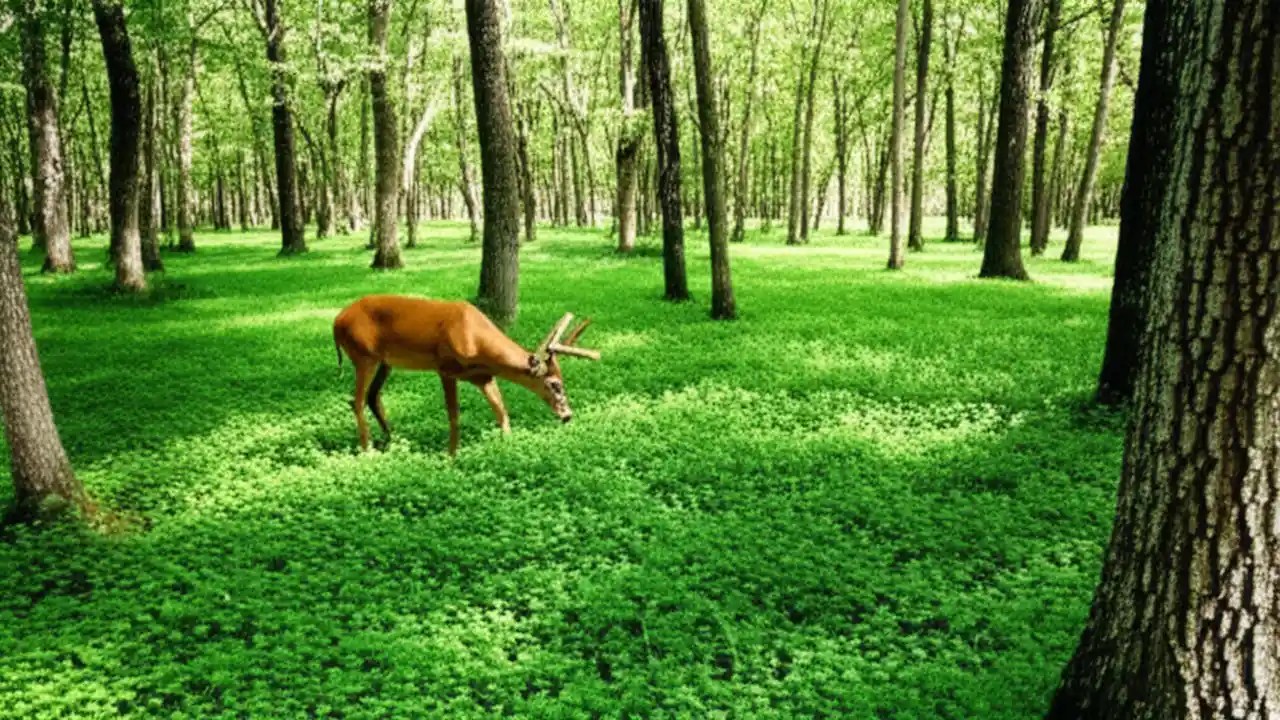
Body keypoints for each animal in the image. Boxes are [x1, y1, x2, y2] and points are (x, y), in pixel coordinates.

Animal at [332, 295, 600, 455]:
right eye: (555, 384)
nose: (567, 415)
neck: (475, 339)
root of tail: (336, 322)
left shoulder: (483, 376)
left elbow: (502, 412)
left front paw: (508, 447)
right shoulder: (445, 367)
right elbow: (454, 415)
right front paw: (452, 455)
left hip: (384, 362)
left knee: (372, 396)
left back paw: (390, 440)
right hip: (363, 355)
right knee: (356, 400)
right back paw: (367, 449)